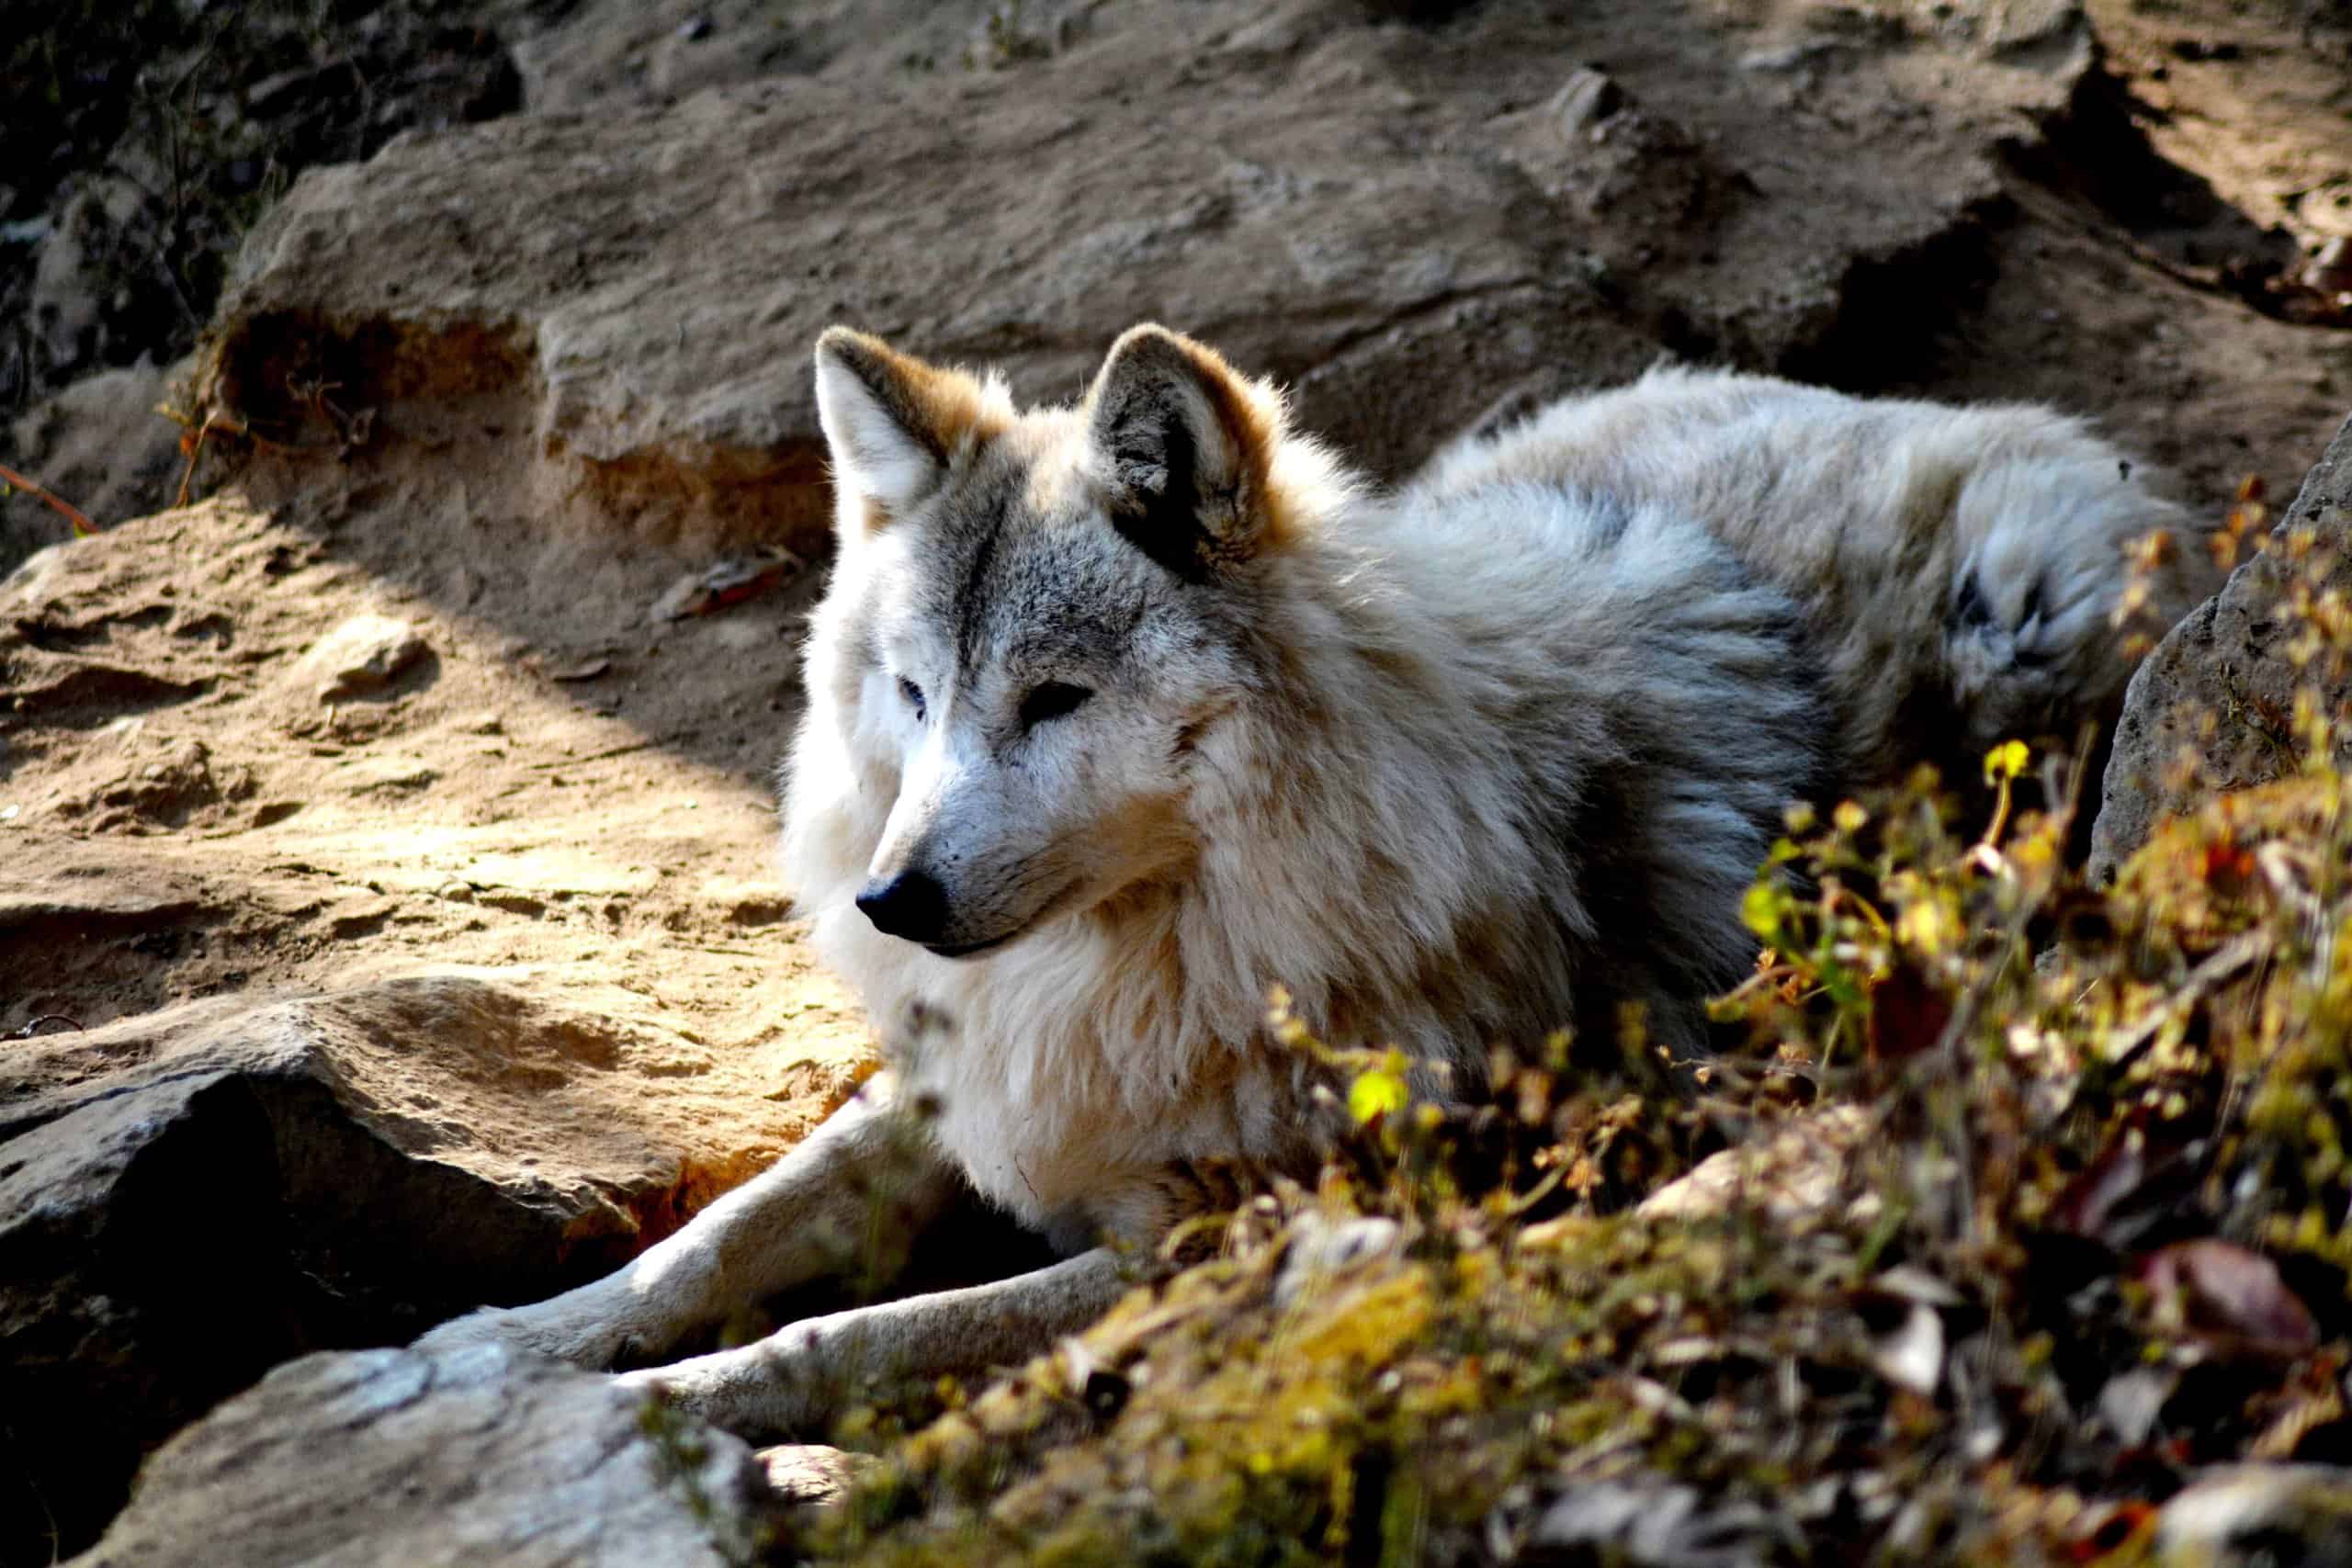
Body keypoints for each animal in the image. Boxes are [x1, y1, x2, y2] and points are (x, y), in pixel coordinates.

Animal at [419, 326, 2206, 1437]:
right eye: (914, 696)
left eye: (1053, 699)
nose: (891, 900)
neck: (1168, 956)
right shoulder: (972, 1080)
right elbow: (719, 1240)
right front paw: (491, 1355)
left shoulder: (1210, 1241)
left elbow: (841, 1330)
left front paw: (645, 1409)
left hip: (2019, 629)